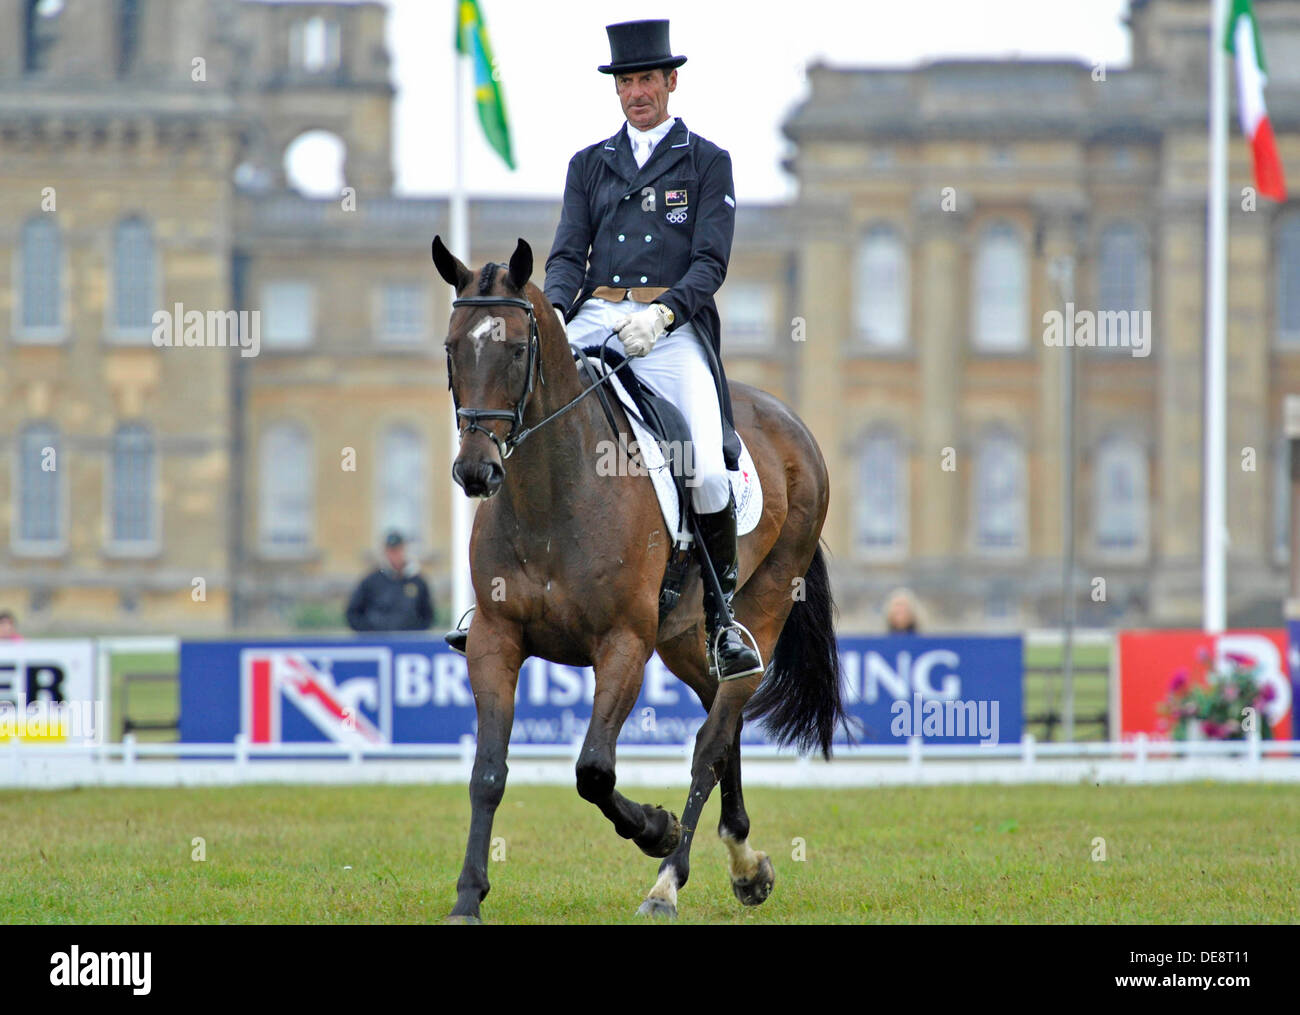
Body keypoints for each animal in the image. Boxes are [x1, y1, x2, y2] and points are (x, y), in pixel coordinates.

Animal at [433, 235, 846, 922]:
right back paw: (745, 863)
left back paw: (668, 879)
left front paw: (655, 828)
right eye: (451, 348)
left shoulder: (623, 643)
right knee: (722, 717)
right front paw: (468, 895)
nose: (475, 471)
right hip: (682, 637)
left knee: (711, 737)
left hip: (759, 608)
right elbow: (488, 771)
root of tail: (790, 424)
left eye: (516, 350)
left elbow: (594, 770)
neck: (552, 493)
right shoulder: (496, 638)